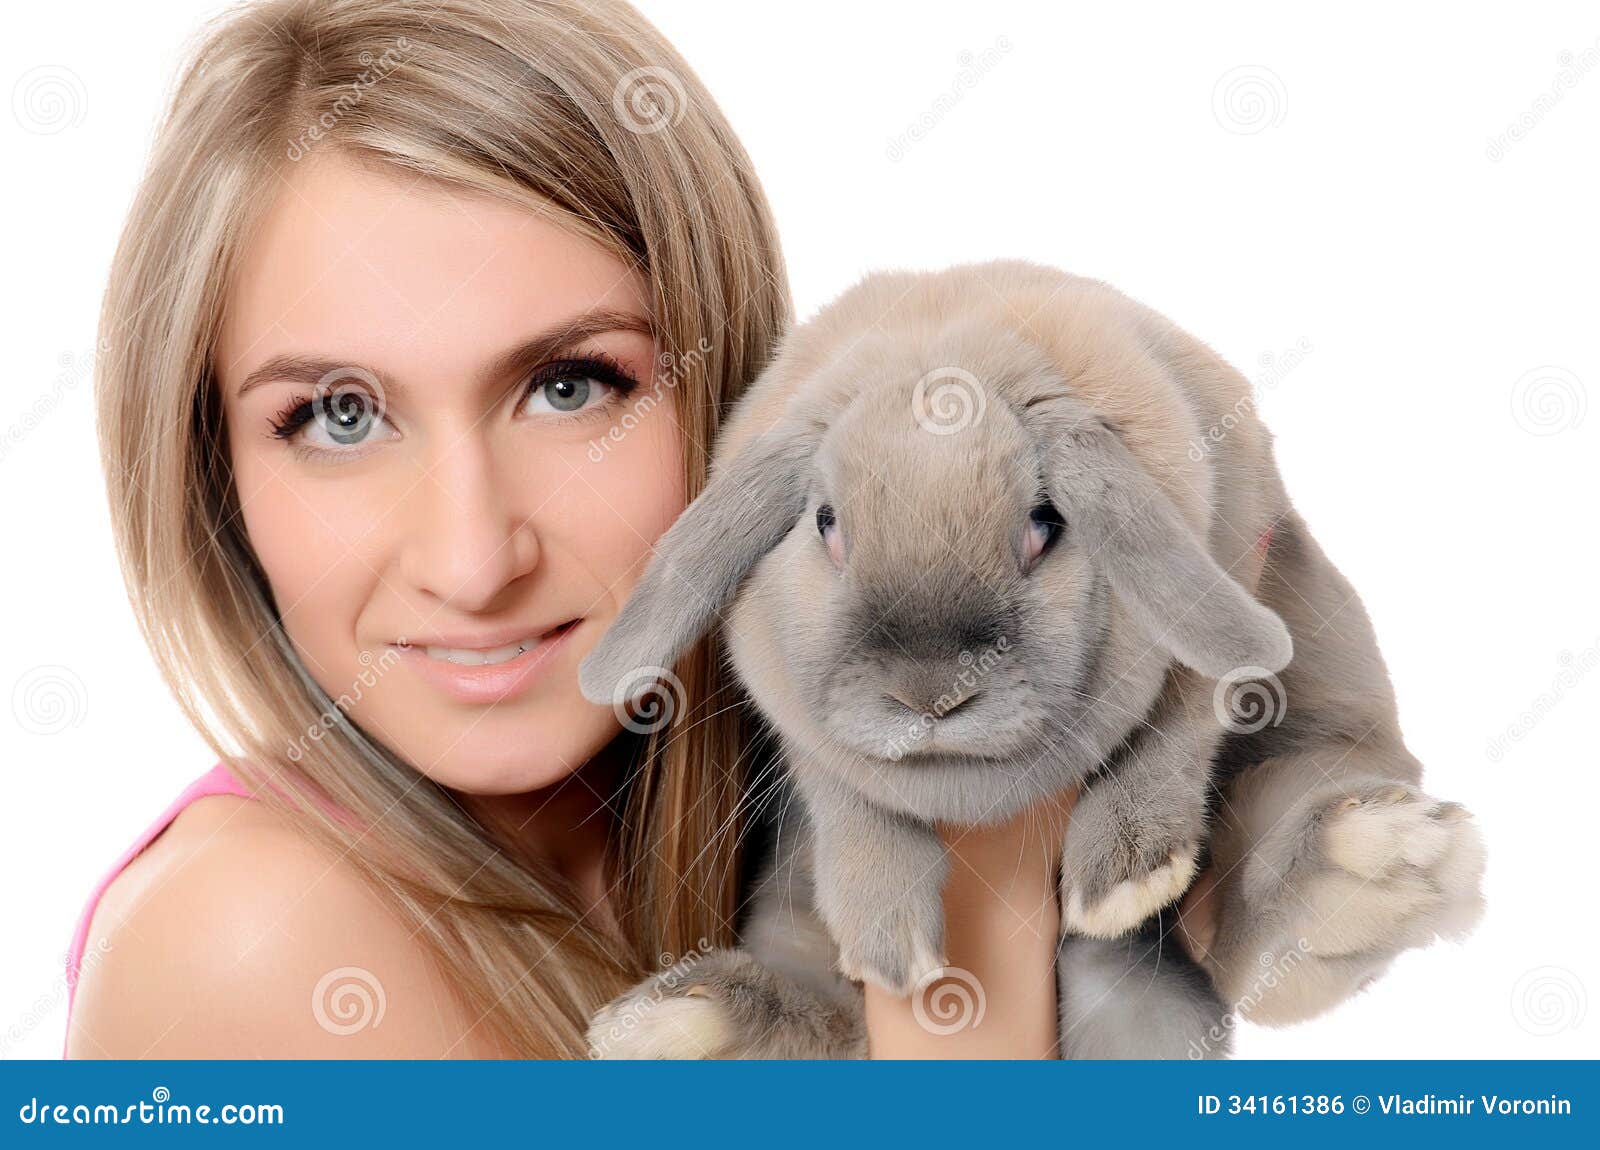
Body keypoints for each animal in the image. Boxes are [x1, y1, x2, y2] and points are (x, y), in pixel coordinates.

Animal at [578, 260, 1486, 1058]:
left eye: (1044, 523)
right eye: (826, 524)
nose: (929, 696)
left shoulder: (1235, 553)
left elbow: (1177, 720)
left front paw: (1123, 879)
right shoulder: (800, 727)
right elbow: (844, 792)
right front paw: (888, 938)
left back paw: (1378, 858)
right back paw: (681, 1023)